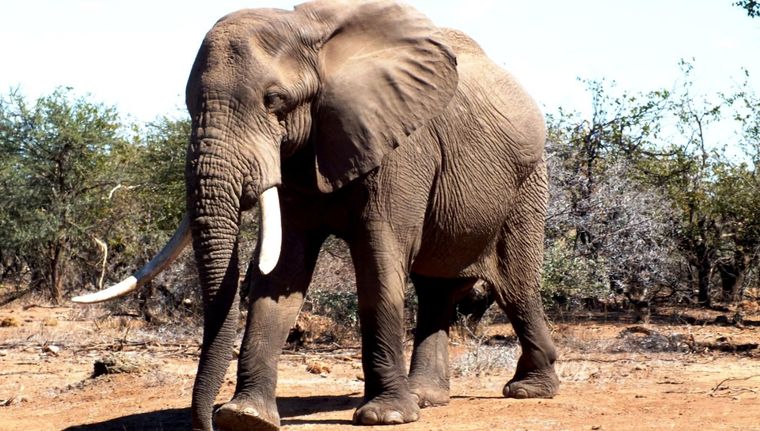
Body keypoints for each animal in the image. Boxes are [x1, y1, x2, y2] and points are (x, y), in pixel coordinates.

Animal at [73, 0, 559, 429]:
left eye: (274, 100)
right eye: (191, 104)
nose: (204, 422)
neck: (310, 31)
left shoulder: (400, 146)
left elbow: (378, 261)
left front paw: (384, 418)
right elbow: (282, 273)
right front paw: (245, 417)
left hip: (528, 181)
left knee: (516, 286)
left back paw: (529, 389)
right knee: (436, 289)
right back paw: (427, 397)